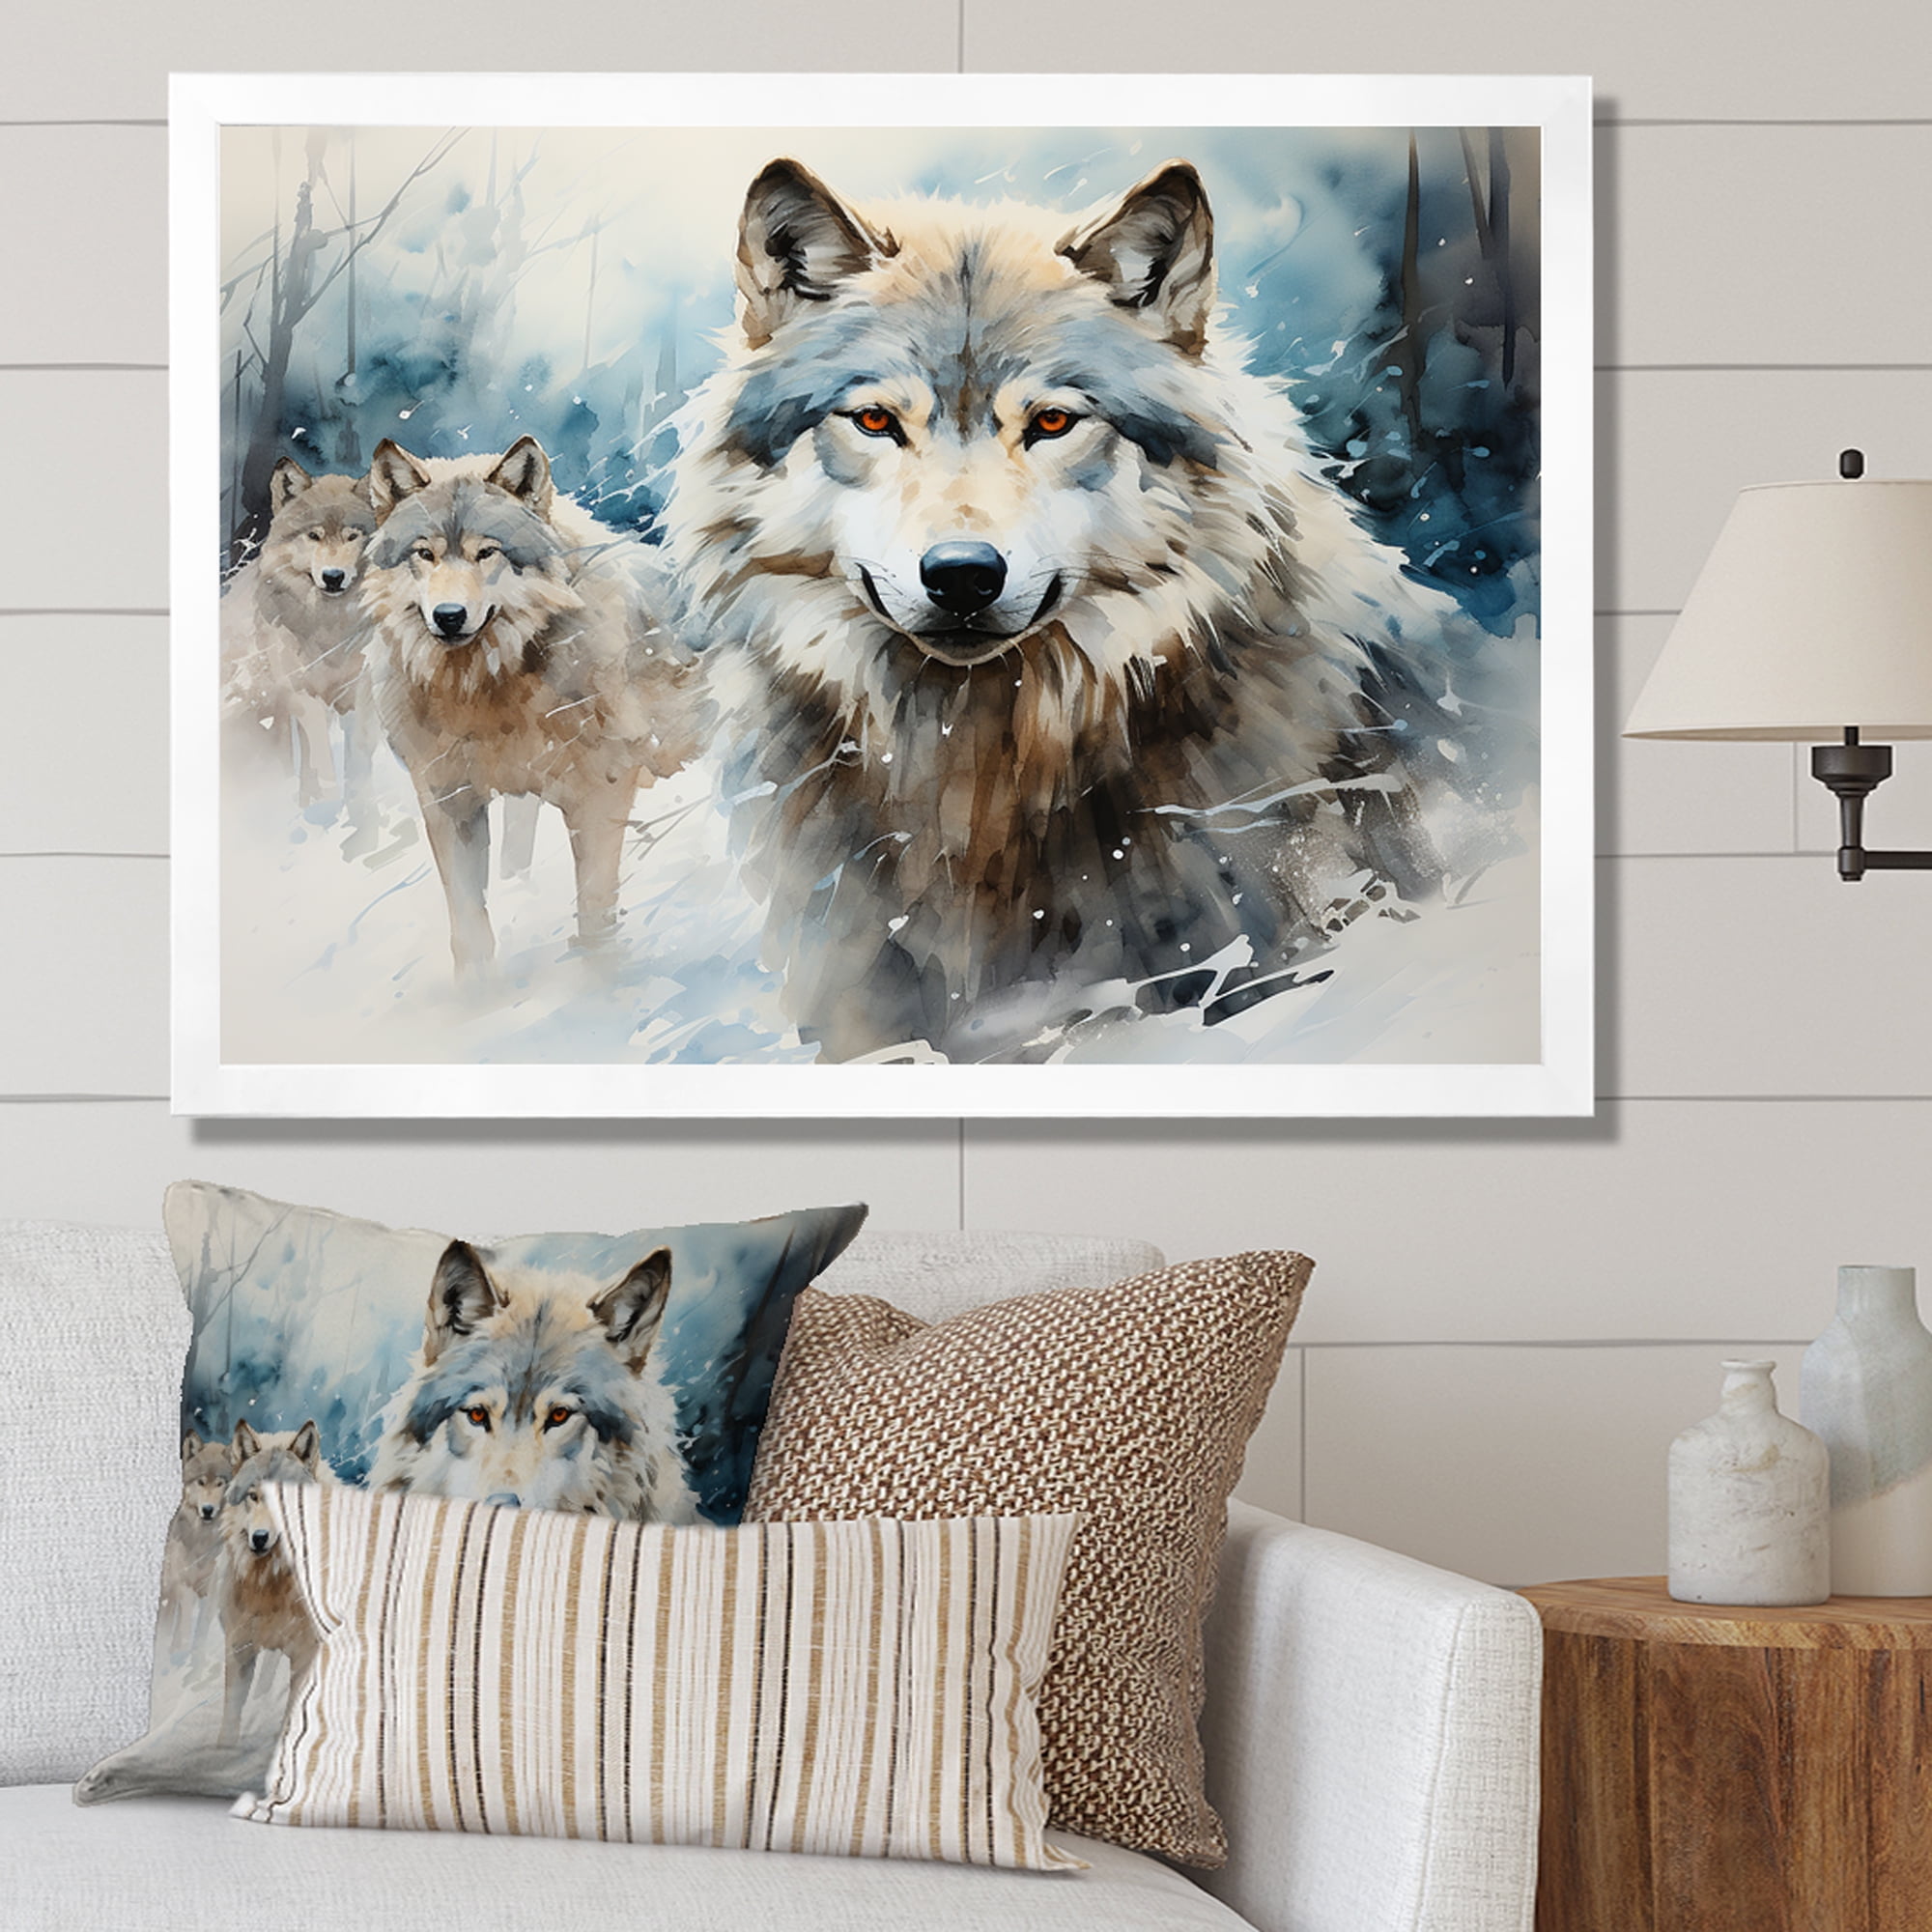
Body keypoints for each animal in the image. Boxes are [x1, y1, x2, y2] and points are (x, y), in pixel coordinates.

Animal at [157, 1430, 234, 1661]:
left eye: (220, 1483)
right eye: (200, 1482)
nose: (208, 1510)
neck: (202, 1541)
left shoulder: (211, 1590)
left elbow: (201, 1629)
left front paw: (197, 1657)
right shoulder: (185, 1585)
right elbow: (185, 1624)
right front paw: (181, 1653)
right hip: (169, 1591)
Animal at [216, 1420, 327, 1747]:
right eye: (253, 1496)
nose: (260, 1538)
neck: (269, 1584)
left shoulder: (304, 1655)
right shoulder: (238, 1649)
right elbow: (230, 1718)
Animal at [221, 458, 379, 809]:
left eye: (352, 536)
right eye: (314, 536)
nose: (333, 577)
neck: (330, 628)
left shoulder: (358, 693)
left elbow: (358, 755)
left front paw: (359, 807)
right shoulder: (302, 692)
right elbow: (319, 752)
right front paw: (324, 802)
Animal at [361, 435, 699, 978]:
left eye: (486, 553)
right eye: (425, 554)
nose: (448, 616)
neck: (486, 685)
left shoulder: (600, 794)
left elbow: (594, 911)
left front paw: (601, 981)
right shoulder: (447, 798)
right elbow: (468, 922)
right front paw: (477, 992)